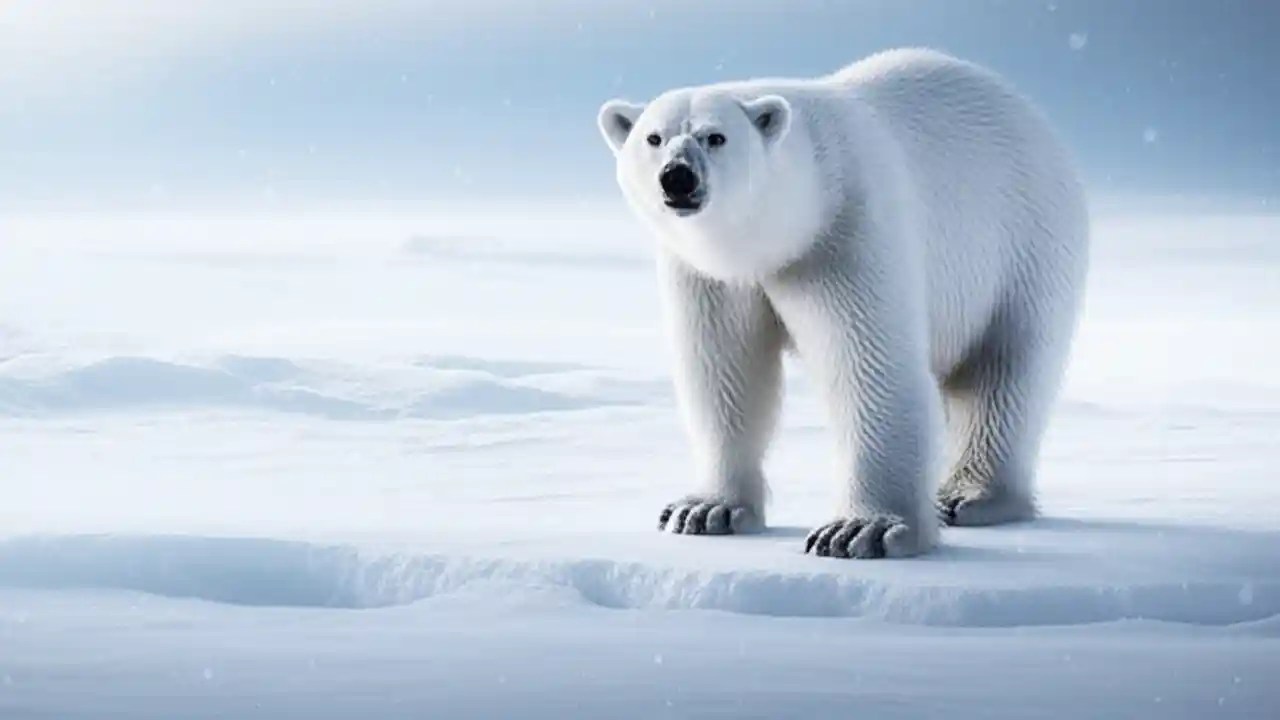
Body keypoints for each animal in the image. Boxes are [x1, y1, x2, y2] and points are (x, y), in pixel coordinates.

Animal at [596, 48, 1089, 558]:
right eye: (654, 137)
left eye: (716, 137)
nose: (677, 177)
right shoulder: (710, 277)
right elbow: (723, 372)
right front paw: (705, 510)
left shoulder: (847, 232)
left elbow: (869, 365)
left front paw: (861, 530)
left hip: (1024, 245)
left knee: (1005, 369)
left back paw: (969, 497)